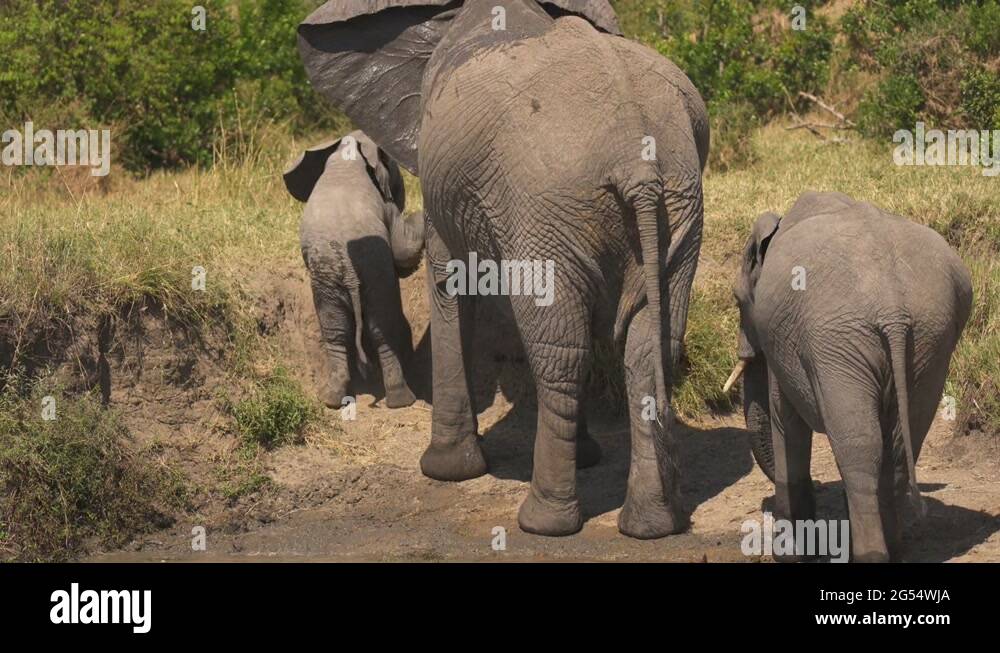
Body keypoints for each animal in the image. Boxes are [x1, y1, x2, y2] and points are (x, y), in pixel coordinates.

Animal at [283, 130, 425, 409]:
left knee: (335, 330)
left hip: (326, 280)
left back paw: (331, 399)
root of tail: (347, 271)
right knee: (383, 329)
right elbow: (403, 247)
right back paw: (401, 400)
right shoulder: (386, 209)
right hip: (375, 272)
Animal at [725, 191, 973, 561]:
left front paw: (790, 555)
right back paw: (893, 548)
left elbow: (785, 420)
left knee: (859, 447)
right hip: (929, 339)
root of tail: (893, 308)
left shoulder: (782, 339)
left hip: (838, 342)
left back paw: (871, 554)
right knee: (898, 444)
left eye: (738, 300)